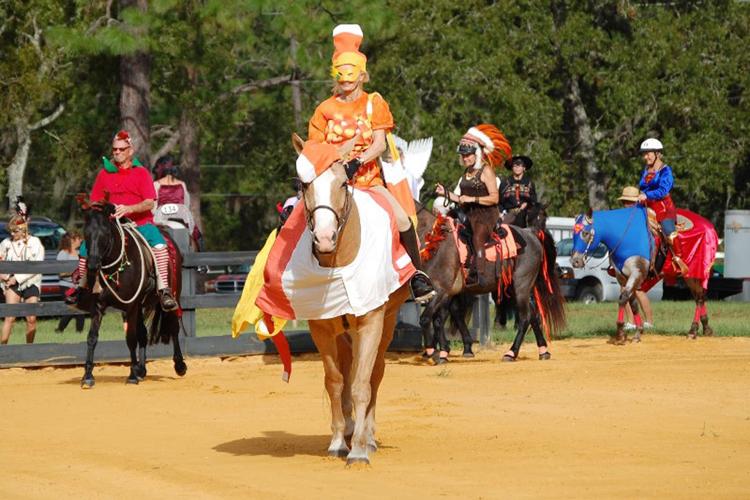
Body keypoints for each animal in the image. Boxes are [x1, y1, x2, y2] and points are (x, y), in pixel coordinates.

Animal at [77, 199, 186, 387]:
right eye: (86, 233)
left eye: (106, 232)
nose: (92, 265)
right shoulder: (98, 305)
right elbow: (92, 337)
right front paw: (88, 375)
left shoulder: (131, 306)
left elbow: (131, 338)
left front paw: (132, 375)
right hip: (141, 305)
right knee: (143, 334)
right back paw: (141, 368)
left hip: (172, 295)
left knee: (173, 326)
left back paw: (179, 365)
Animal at [417, 202, 565, 362]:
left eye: (545, 218)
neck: (436, 240)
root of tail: (531, 234)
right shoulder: (446, 292)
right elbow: (443, 317)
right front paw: (447, 349)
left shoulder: (442, 289)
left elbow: (430, 319)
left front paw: (436, 351)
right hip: (515, 288)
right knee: (532, 315)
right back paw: (543, 351)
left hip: (521, 286)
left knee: (525, 317)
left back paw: (511, 352)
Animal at [570, 206, 717, 343]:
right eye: (573, 234)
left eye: (585, 232)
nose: (575, 261)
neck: (625, 236)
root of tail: (709, 226)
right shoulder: (622, 278)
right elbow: (632, 303)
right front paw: (637, 332)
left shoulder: (637, 274)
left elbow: (623, 298)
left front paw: (620, 333)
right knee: (699, 296)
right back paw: (705, 328)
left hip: (692, 274)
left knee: (699, 297)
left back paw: (693, 330)